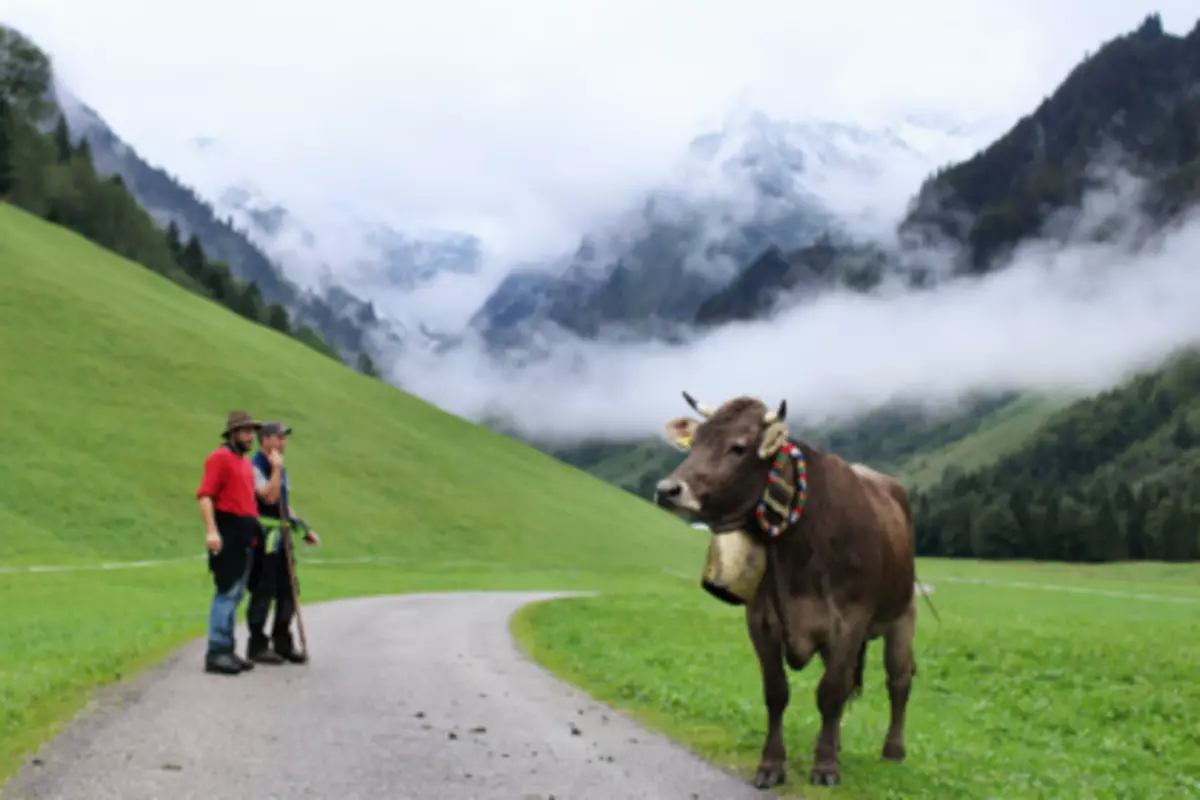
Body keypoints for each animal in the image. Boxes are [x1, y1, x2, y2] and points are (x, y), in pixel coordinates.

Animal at [652, 391, 921, 791]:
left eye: (738, 447)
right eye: (695, 441)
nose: (667, 490)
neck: (801, 552)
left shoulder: (849, 621)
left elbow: (830, 691)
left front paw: (825, 767)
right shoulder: (761, 620)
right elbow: (778, 692)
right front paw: (773, 764)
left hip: (903, 613)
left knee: (898, 679)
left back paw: (893, 749)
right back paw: (836, 743)